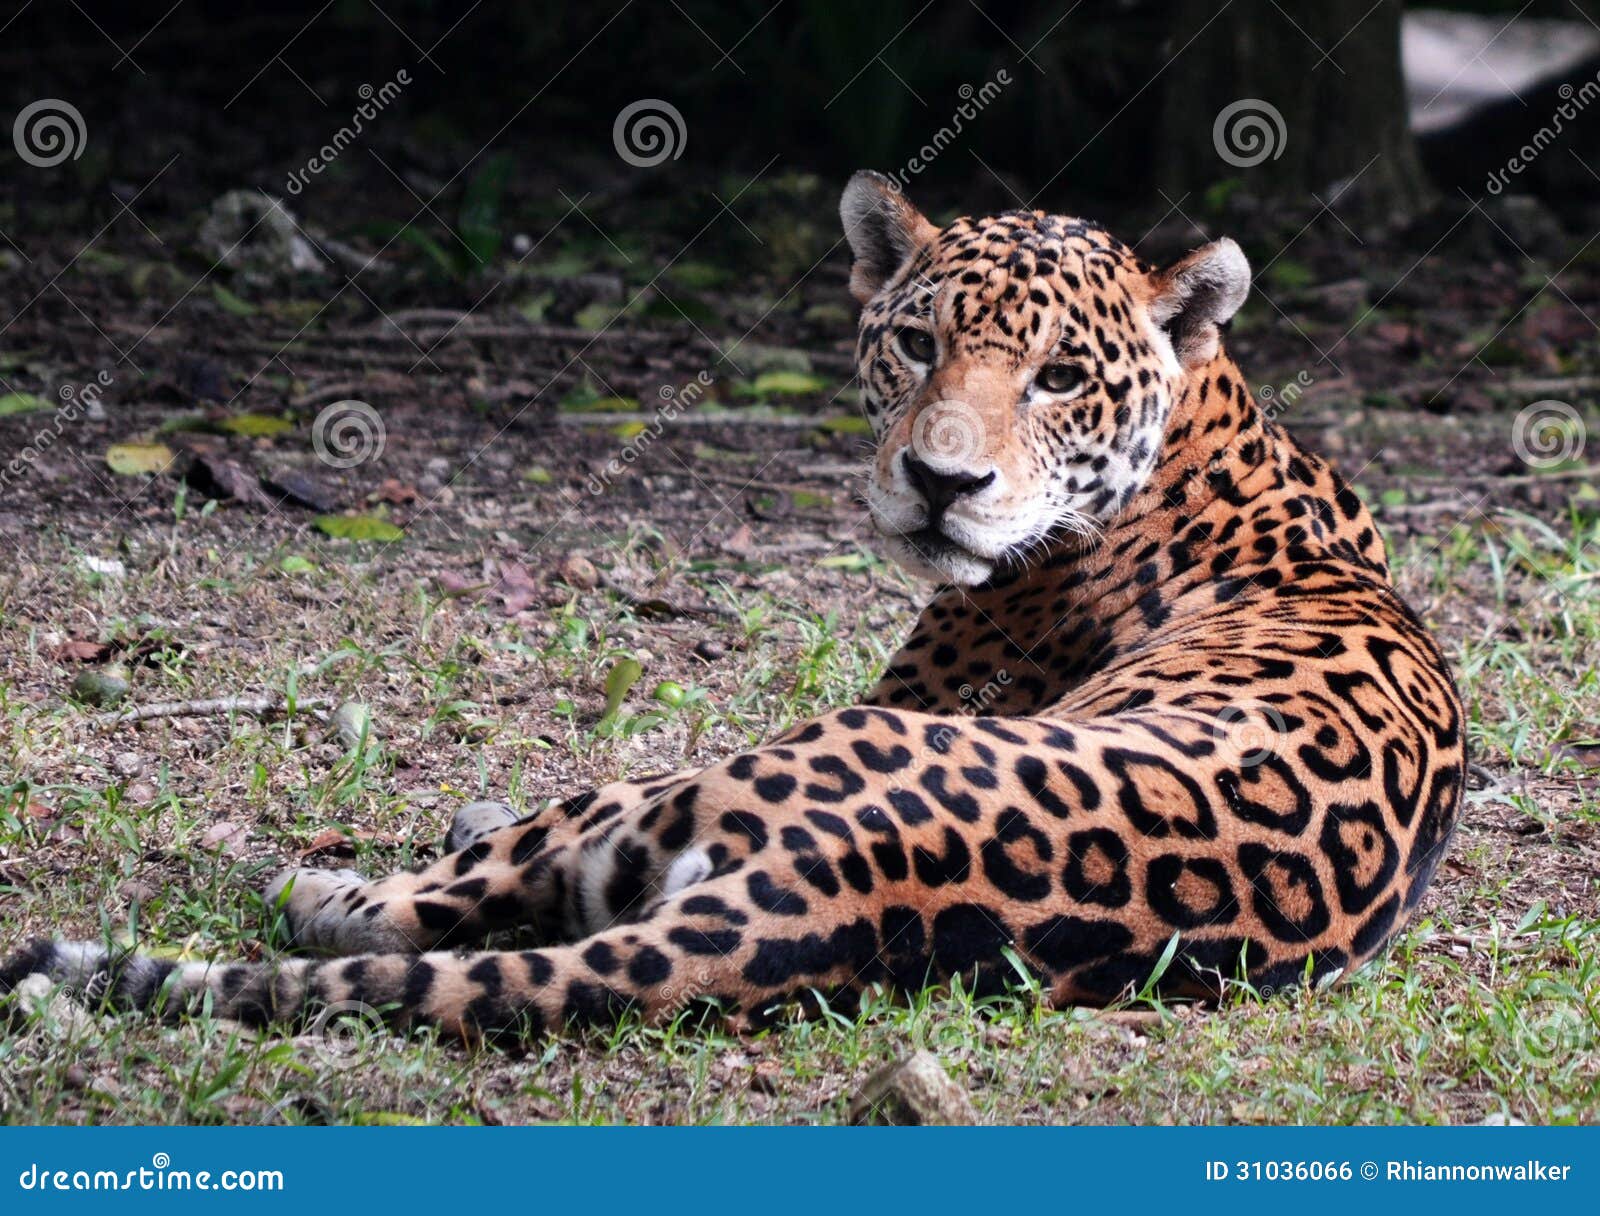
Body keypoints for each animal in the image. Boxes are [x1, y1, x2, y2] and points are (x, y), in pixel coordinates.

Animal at [1, 172, 1465, 1041]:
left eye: (1058, 376)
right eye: (917, 343)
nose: (942, 482)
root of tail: (860, 889)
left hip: (701, 781)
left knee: (448, 896)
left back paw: (331, 879)